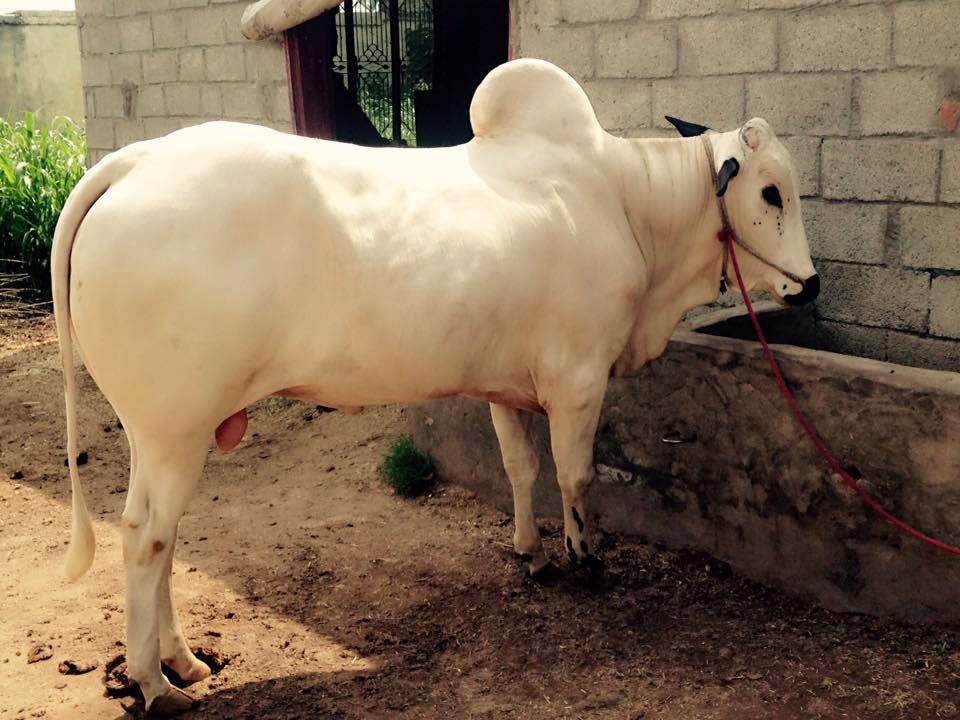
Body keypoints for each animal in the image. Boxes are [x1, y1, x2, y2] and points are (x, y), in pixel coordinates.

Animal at [51, 59, 818, 715]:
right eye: (770, 191)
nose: (809, 284)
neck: (626, 203)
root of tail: (135, 161)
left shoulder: (510, 388)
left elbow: (521, 466)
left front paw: (532, 554)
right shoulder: (579, 380)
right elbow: (575, 477)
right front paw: (587, 561)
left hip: (162, 435)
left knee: (160, 535)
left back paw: (182, 661)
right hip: (175, 430)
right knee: (147, 540)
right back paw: (154, 683)